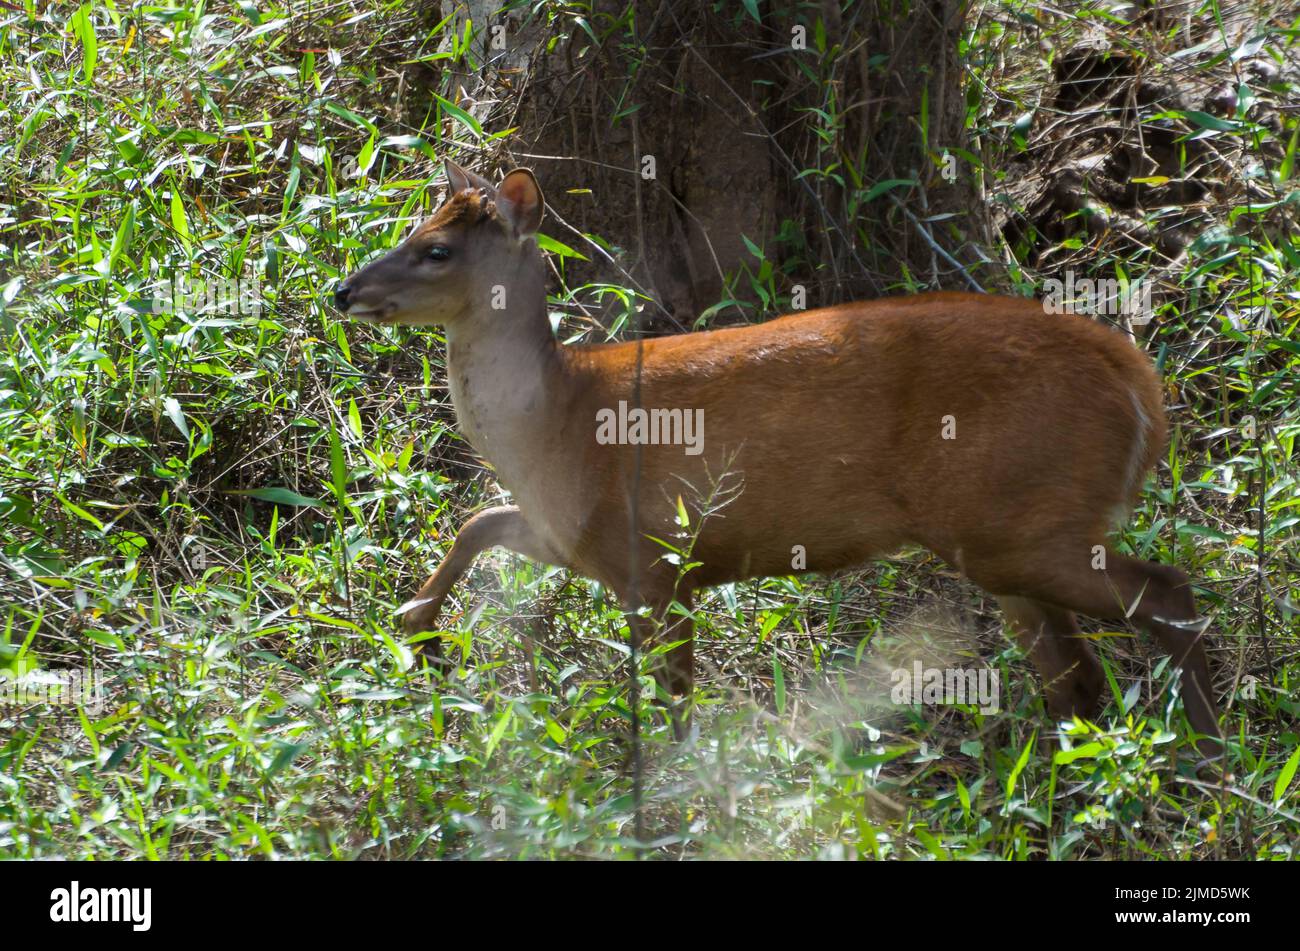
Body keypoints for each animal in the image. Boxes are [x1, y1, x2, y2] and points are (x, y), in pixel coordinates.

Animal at [333, 159, 1223, 761]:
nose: (343, 290)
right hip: (1007, 535)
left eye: (437, 249)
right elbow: (480, 520)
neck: (557, 421)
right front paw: (416, 623)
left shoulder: (657, 559)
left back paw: (1208, 756)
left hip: (1021, 519)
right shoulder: (575, 537)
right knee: (1077, 675)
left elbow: (674, 698)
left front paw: (667, 785)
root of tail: (1140, 386)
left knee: (1168, 594)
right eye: (411, 227)